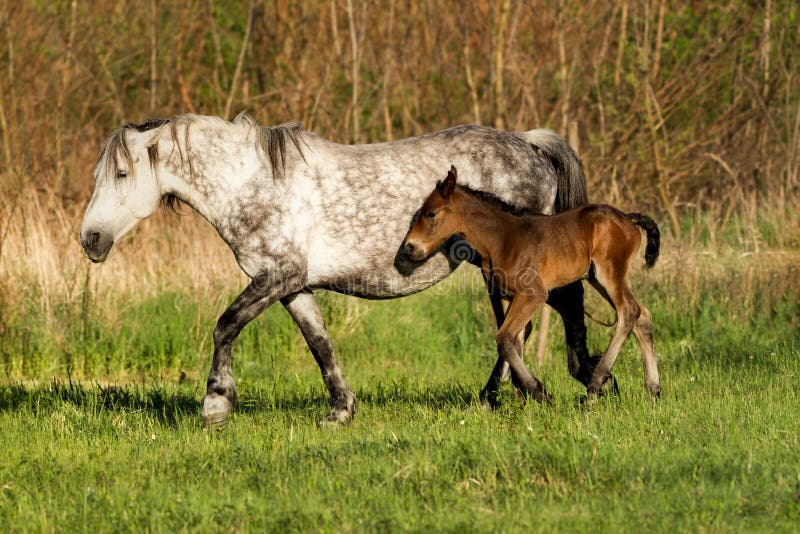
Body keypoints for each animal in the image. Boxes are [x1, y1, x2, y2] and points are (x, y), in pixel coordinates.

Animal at [80, 111, 597, 426]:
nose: (90, 240)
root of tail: (528, 143)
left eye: (122, 174)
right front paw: (340, 411)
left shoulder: (276, 276)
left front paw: (216, 404)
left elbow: (225, 325)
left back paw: (511, 394)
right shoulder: (292, 286)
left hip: (504, 270)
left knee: (525, 325)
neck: (250, 183)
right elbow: (320, 344)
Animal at [402, 166, 661, 400]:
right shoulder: (507, 295)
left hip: (608, 272)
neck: (502, 239)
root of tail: (628, 219)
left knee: (629, 311)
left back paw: (597, 383)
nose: (410, 248)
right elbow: (515, 341)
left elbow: (504, 339)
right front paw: (523, 395)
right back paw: (653, 390)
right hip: (597, 278)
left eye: (431, 213)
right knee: (642, 315)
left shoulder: (534, 294)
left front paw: (539, 392)